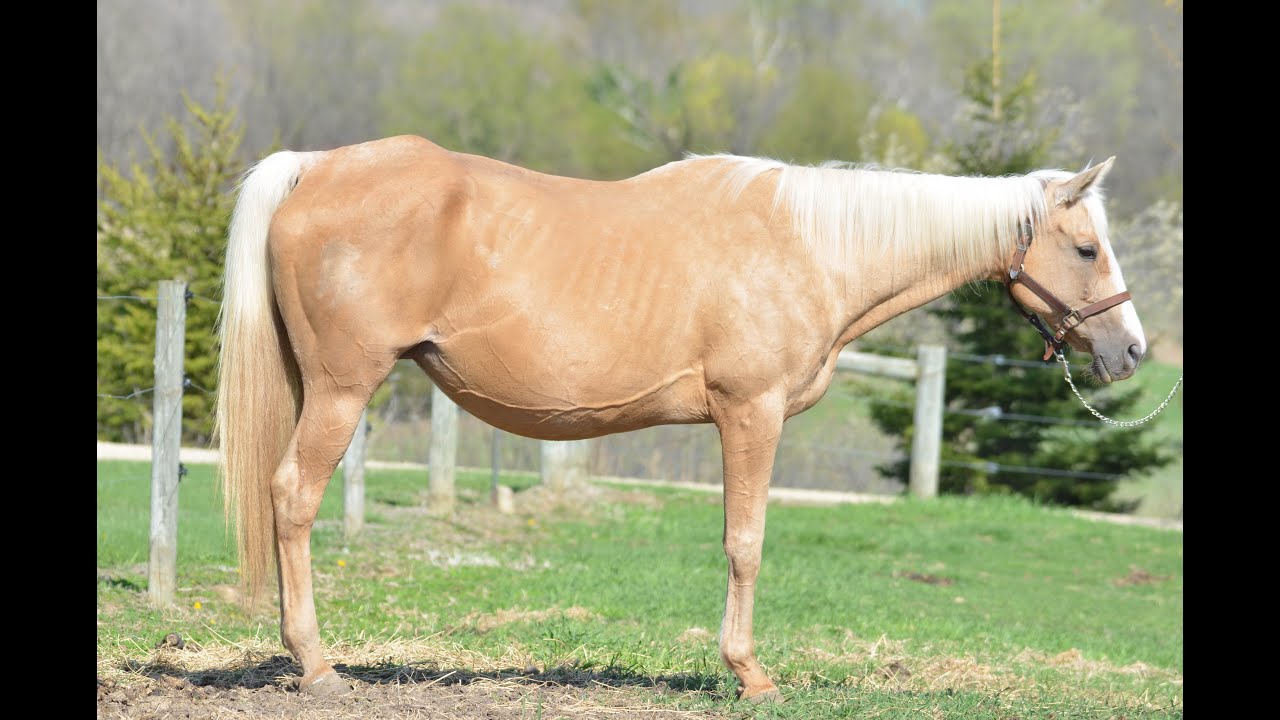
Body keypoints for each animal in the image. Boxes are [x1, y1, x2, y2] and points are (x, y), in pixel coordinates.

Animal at [215, 135, 1145, 700]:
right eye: (1087, 248)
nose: (1132, 350)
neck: (808, 247)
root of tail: (315, 166)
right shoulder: (750, 415)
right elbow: (746, 544)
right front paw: (750, 674)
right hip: (342, 389)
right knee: (293, 495)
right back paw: (317, 665)